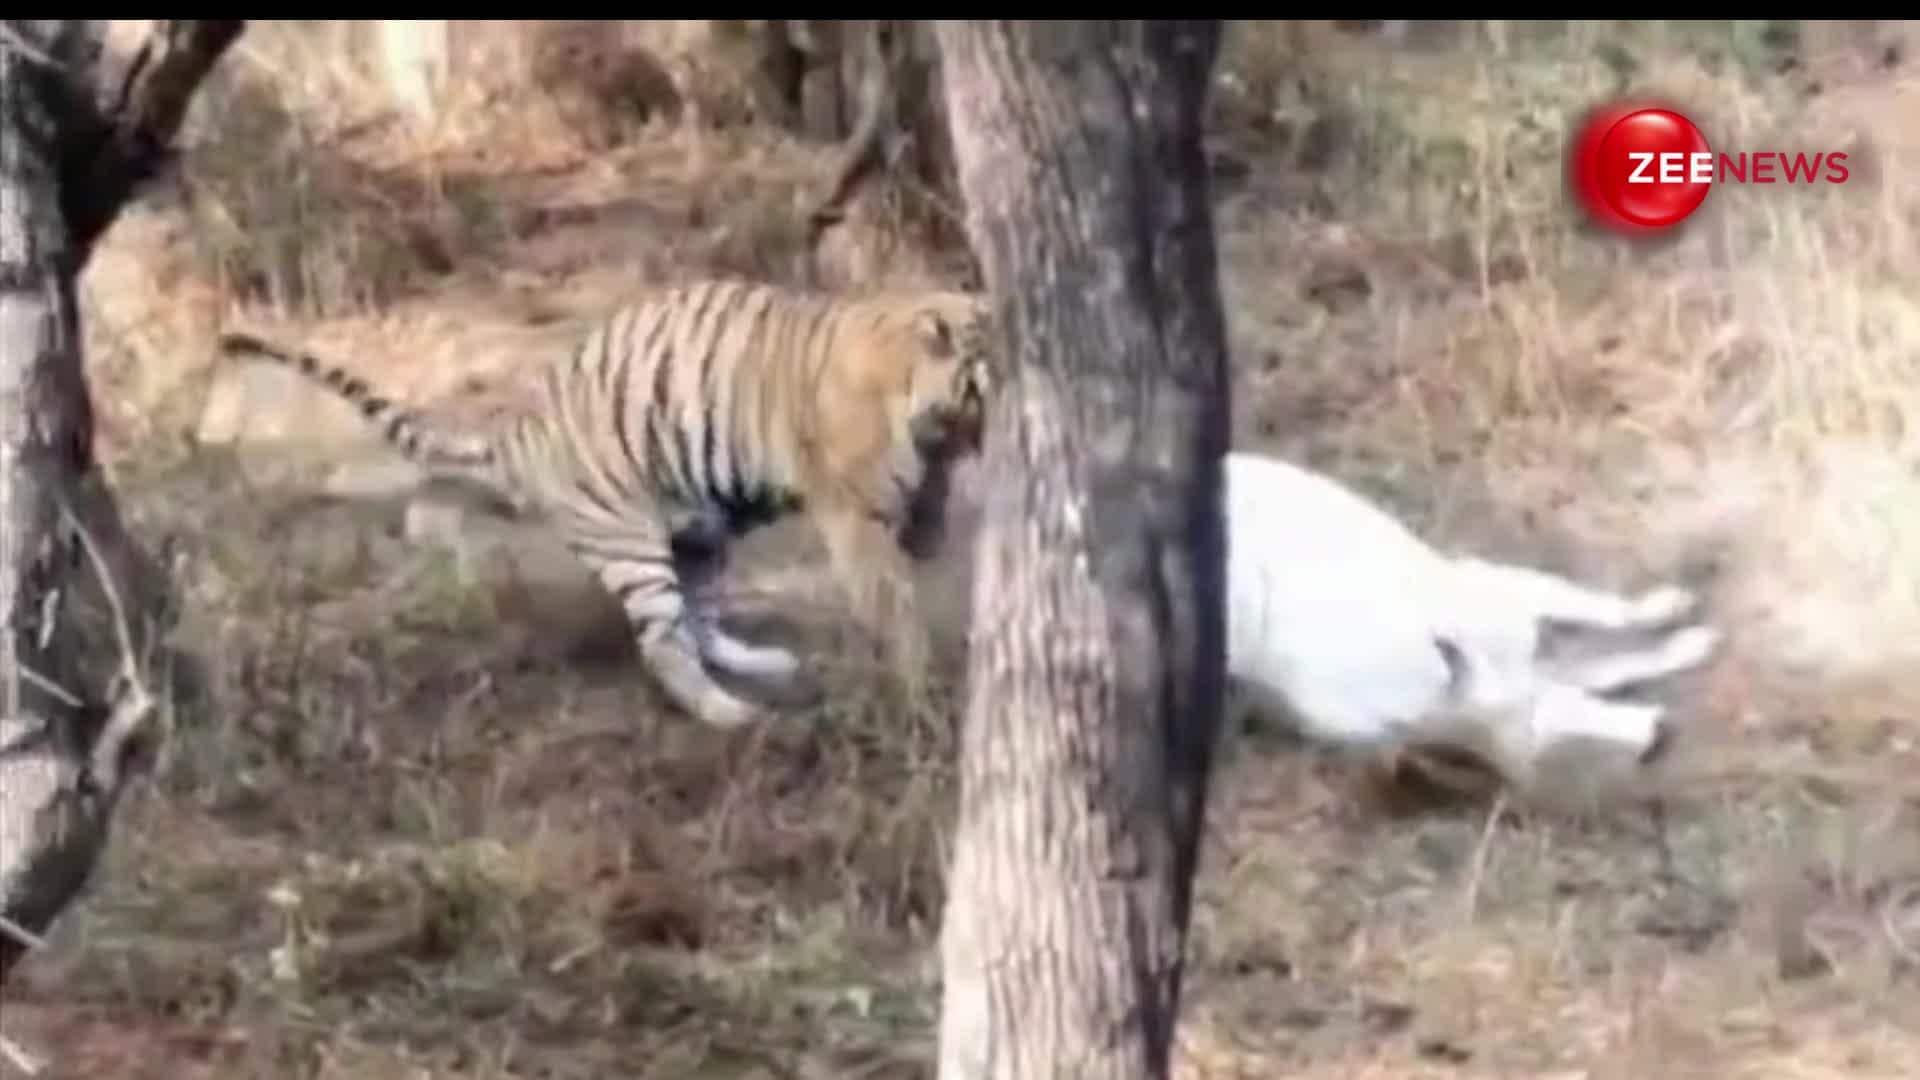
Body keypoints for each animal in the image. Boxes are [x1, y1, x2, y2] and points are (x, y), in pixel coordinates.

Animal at [217, 277, 997, 730]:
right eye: (979, 393)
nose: (990, 441)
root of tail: (529, 427)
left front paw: (928, 536)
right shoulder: (849, 509)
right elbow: (891, 600)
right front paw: (920, 686)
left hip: (702, 527)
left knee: (700, 617)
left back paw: (757, 663)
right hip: (630, 537)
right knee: (663, 642)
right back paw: (727, 712)